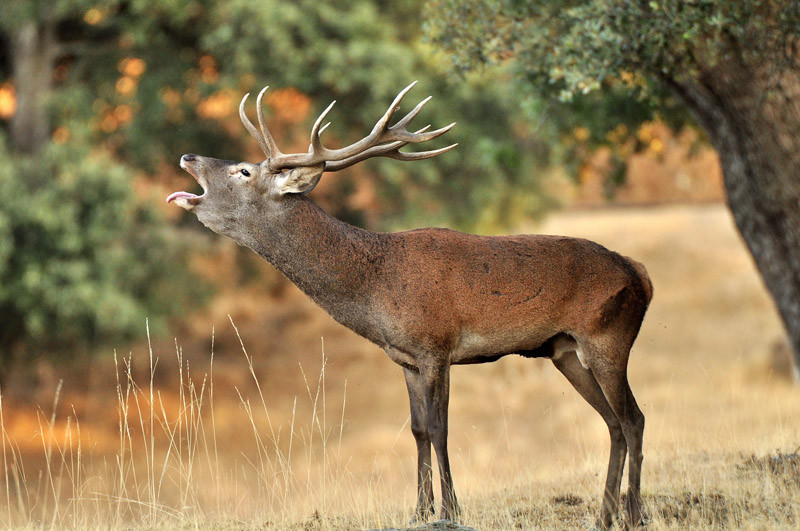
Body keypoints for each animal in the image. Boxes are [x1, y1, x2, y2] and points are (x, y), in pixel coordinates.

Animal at [167, 82, 652, 529]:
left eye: (244, 171)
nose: (187, 156)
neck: (375, 291)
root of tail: (641, 275)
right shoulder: (405, 358)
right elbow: (418, 430)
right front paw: (419, 511)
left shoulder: (437, 346)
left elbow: (439, 428)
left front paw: (452, 511)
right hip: (566, 351)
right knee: (612, 422)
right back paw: (605, 515)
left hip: (609, 336)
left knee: (633, 418)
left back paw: (633, 513)